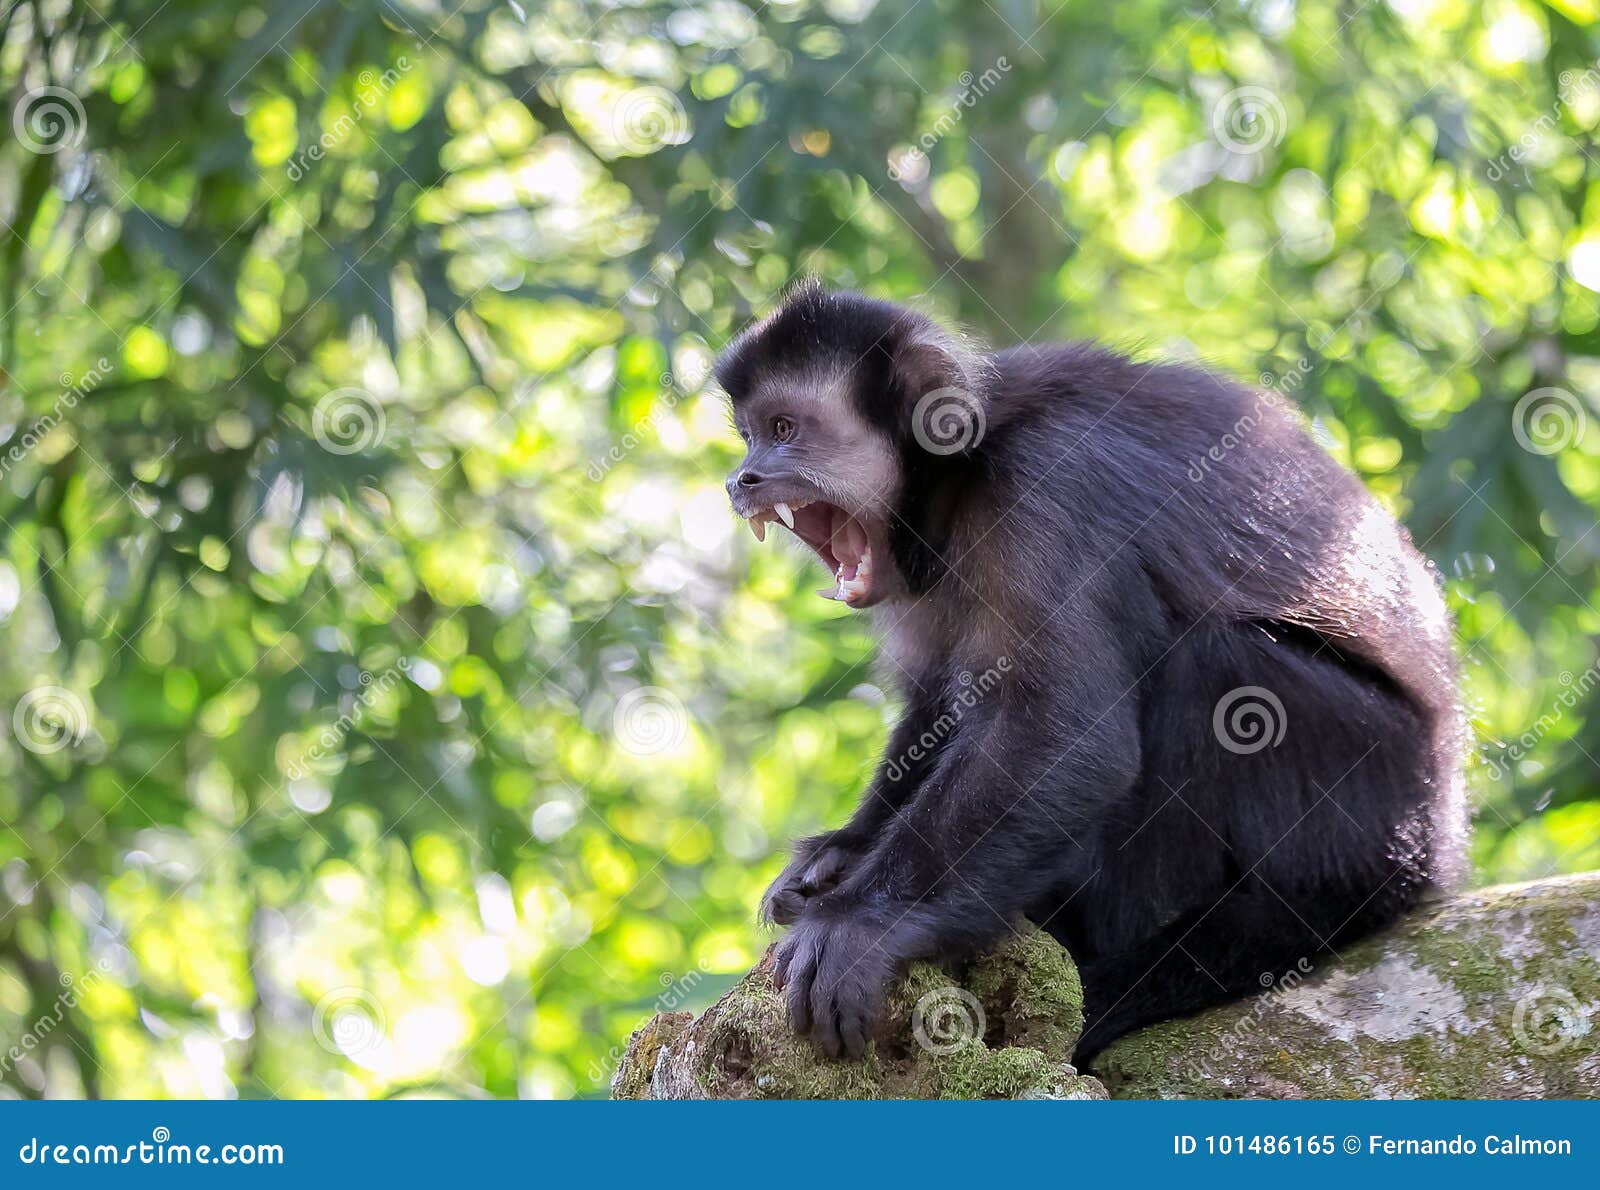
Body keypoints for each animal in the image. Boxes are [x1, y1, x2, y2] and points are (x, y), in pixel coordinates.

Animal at [716, 282, 1467, 1064]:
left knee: (1210, 663)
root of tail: (1439, 830)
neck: (965, 471)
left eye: (784, 428)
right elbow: (939, 703)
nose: (742, 477)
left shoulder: (1047, 481)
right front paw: (840, 856)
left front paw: (863, 923)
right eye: (750, 435)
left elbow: (1068, 734)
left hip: (1376, 785)